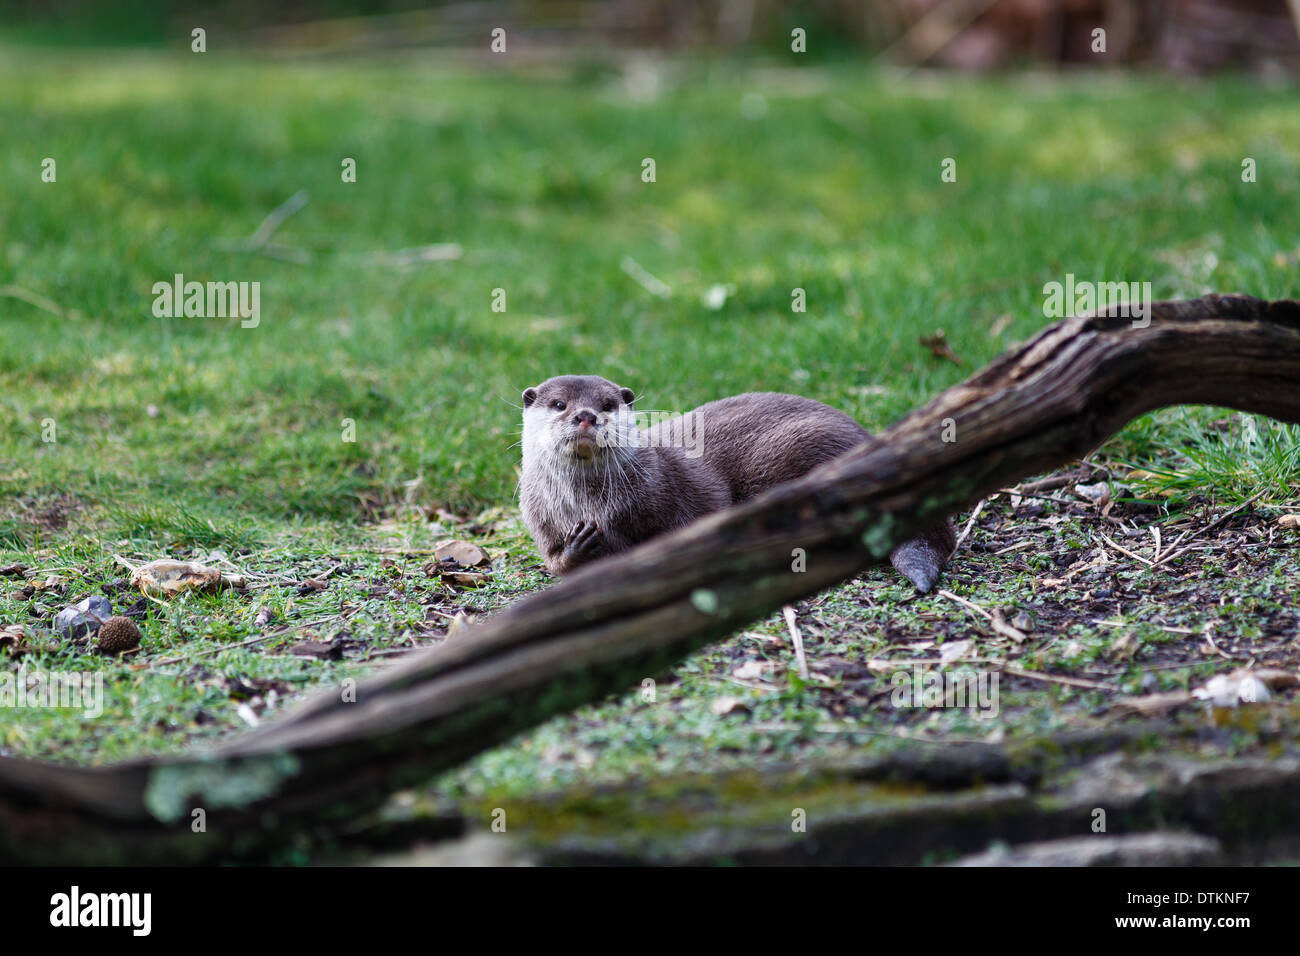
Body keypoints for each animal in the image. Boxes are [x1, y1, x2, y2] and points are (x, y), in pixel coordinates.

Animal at [518, 375, 955, 591]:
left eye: (608, 404)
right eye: (559, 404)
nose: (586, 415)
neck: (588, 502)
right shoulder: (540, 519)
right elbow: (556, 565)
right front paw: (579, 547)